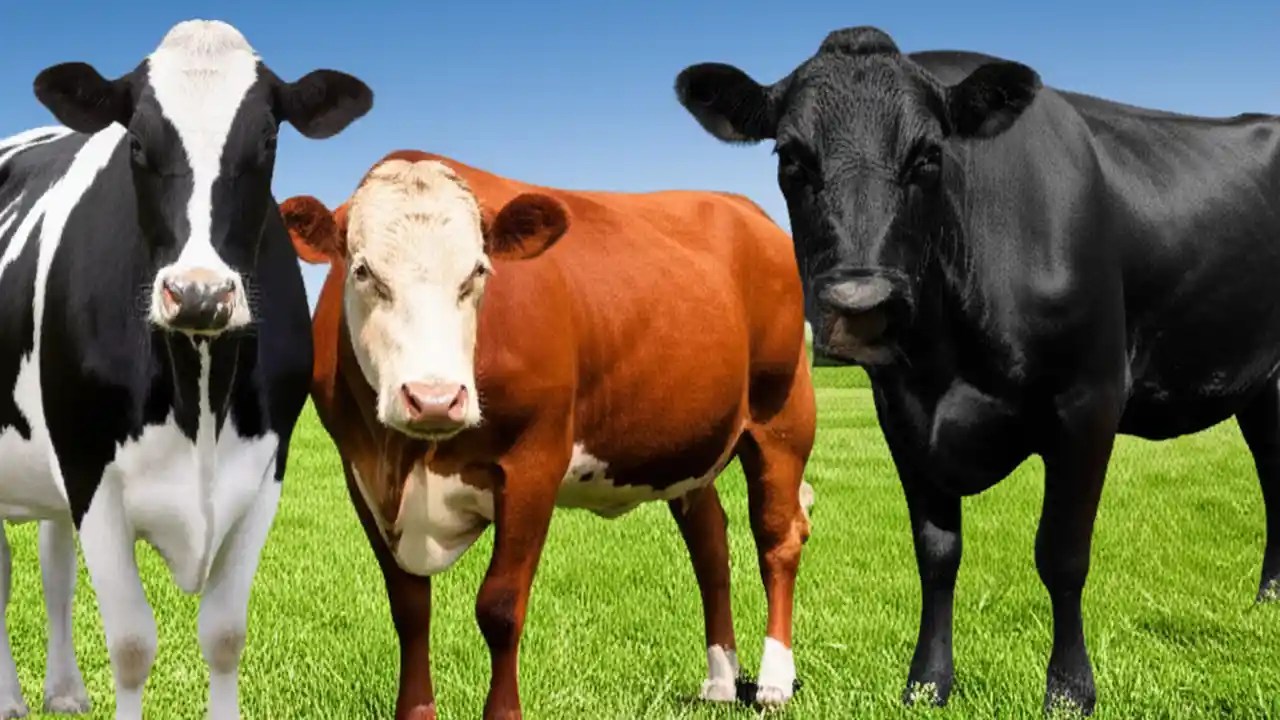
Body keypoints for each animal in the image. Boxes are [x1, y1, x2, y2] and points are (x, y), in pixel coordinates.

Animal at [0, 19, 370, 719]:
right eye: (137, 142)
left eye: (268, 137)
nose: (200, 293)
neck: (198, 384)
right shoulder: (91, 476)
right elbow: (132, 645)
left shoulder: (266, 474)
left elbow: (224, 635)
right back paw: (11, 699)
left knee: (52, 563)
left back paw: (64, 691)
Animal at [280, 150, 817, 719]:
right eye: (363, 271)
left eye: (478, 270)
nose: (434, 398)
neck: (409, 456)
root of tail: (746, 210)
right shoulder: (361, 472)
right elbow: (408, 608)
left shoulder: (533, 461)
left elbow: (499, 607)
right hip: (691, 444)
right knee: (711, 545)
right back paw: (719, 679)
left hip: (783, 418)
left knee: (778, 536)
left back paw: (774, 681)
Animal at [675, 24, 1280, 717]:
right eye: (791, 158)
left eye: (929, 156)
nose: (861, 304)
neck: (950, 359)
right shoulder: (903, 413)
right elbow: (936, 552)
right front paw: (927, 682)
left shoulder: (1090, 399)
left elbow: (1062, 552)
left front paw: (1069, 689)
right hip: (1263, 389)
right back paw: (1268, 598)